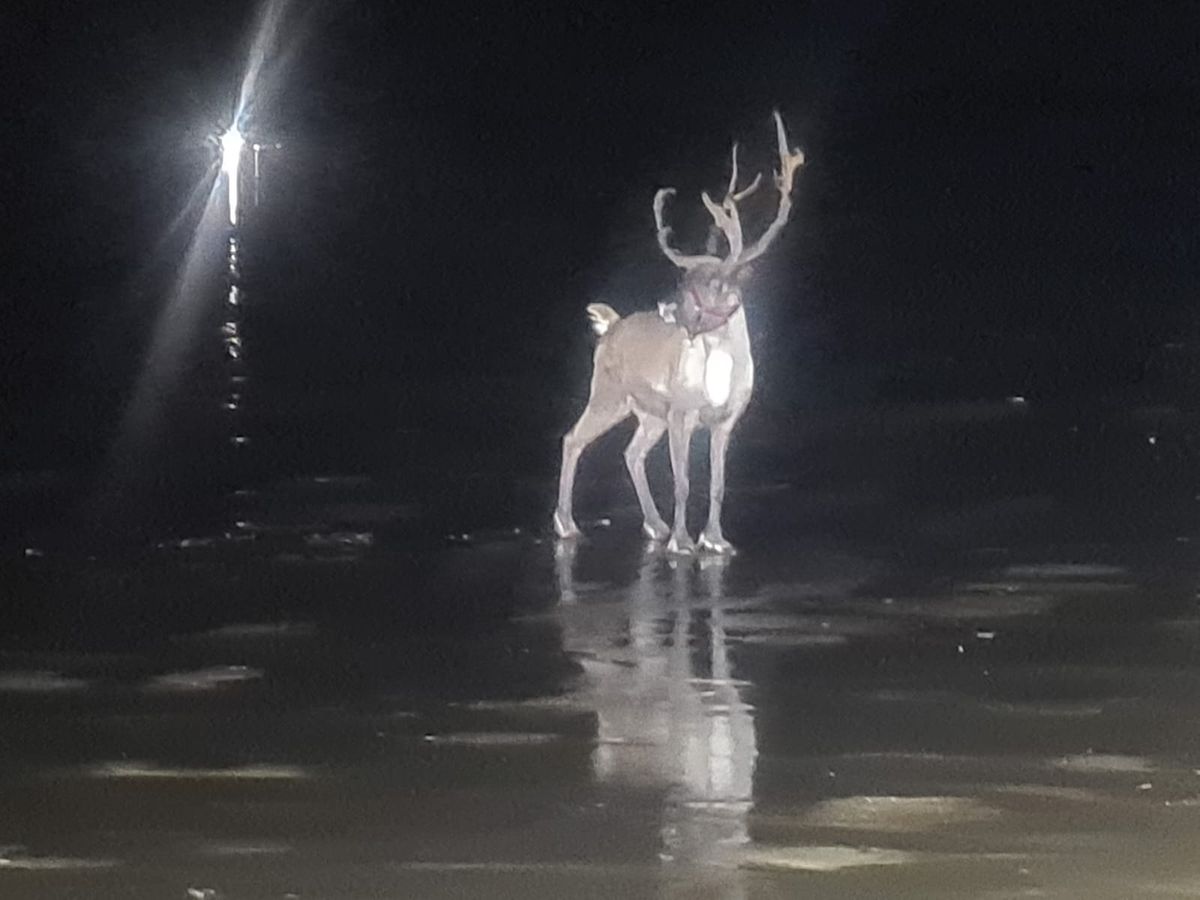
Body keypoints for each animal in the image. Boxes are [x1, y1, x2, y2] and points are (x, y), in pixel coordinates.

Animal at [553, 111, 805, 554]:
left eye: (713, 284)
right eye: (684, 279)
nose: (668, 308)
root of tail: (610, 325)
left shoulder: (725, 420)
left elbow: (718, 484)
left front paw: (716, 540)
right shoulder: (681, 414)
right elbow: (683, 482)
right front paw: (684, 541)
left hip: (646, 412)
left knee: (631, 452)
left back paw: (654, 525)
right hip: (609, 393)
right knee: (573, 439)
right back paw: (567, 524)